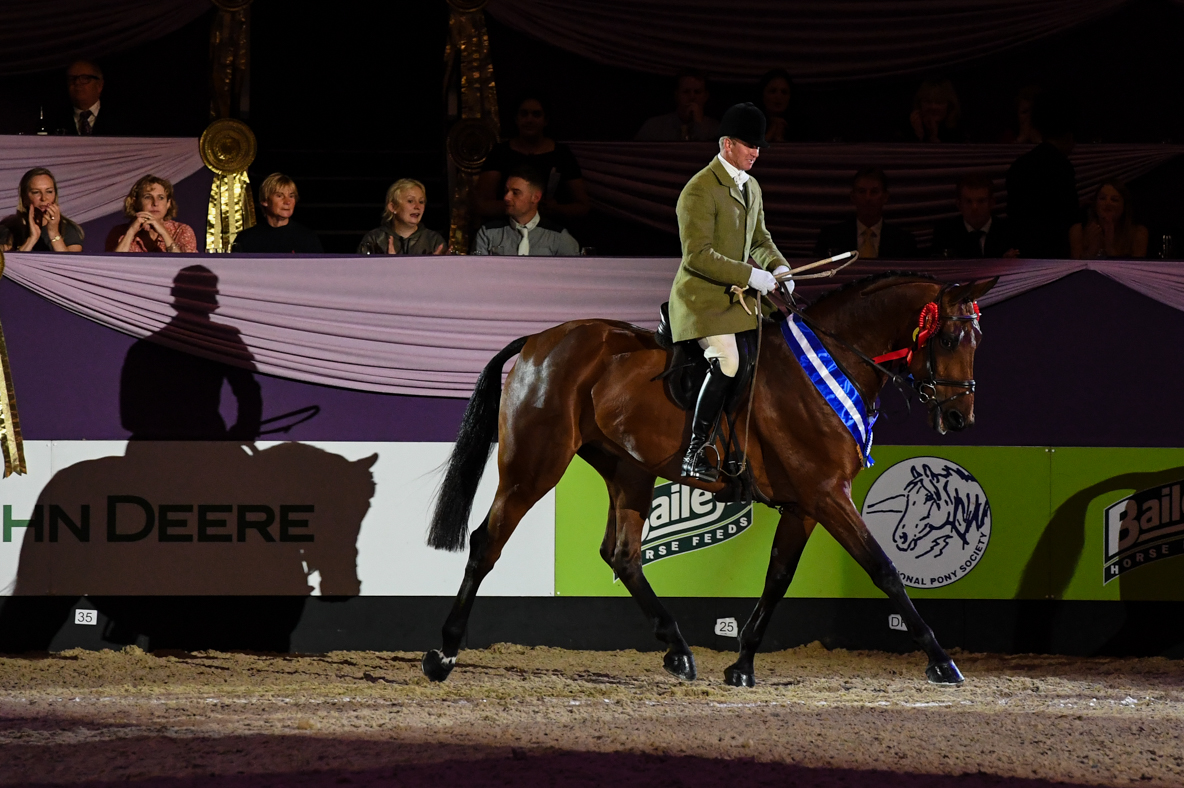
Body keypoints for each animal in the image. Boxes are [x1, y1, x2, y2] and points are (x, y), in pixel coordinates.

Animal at [421, 272, 997, 687]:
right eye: (949, 336)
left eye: (977, 339)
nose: (960, 417)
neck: (828, 364)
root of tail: (539, 340)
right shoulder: (828, 495)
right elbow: (884, 570)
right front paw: (942, 661)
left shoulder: (805, 504)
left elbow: (778, 577)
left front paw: (741, 665)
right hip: (534, 465)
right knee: (487, 542)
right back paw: (443, 654)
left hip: (628, 469)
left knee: (623, 556)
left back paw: (678, 651)